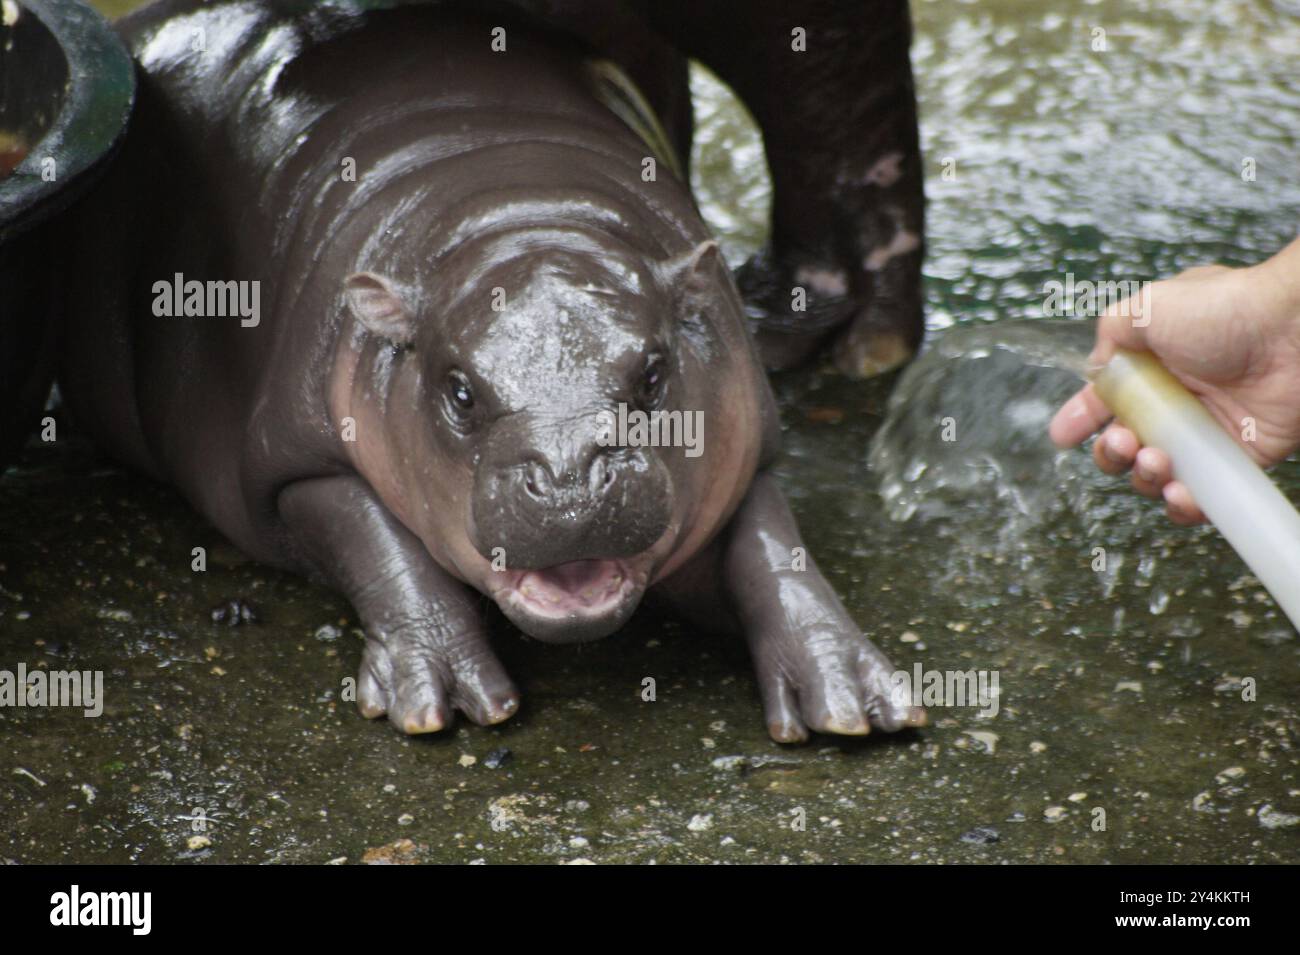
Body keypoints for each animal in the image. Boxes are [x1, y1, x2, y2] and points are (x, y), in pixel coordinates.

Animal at [55, 0, 925, 742]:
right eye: (460, 390)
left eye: (653, 373)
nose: (571, 478)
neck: (519, 212)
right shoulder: (296, 459)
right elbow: (379, 543)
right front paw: (444, 696)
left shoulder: (747, 440)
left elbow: (773, 547)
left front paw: (852, 698)